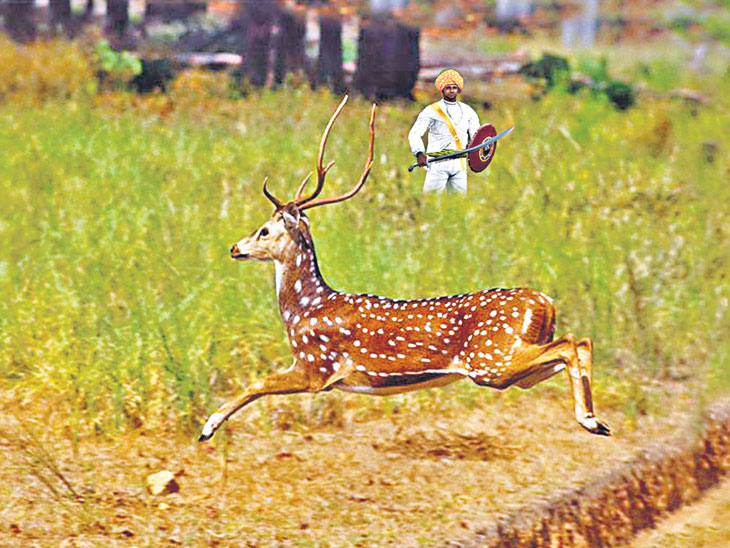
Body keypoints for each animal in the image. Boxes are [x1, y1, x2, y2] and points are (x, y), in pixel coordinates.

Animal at [198, 95, 610, 442]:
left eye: (264, 230)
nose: (235, 248)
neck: (303, 309)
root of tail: (545, 302)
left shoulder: (317, 366)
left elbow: (258, 383)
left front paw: (207, 427)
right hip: (511, 367)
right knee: (577, 344)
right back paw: (596, 420)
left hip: (492, 358)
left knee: (571, 344)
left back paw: (591, 420)